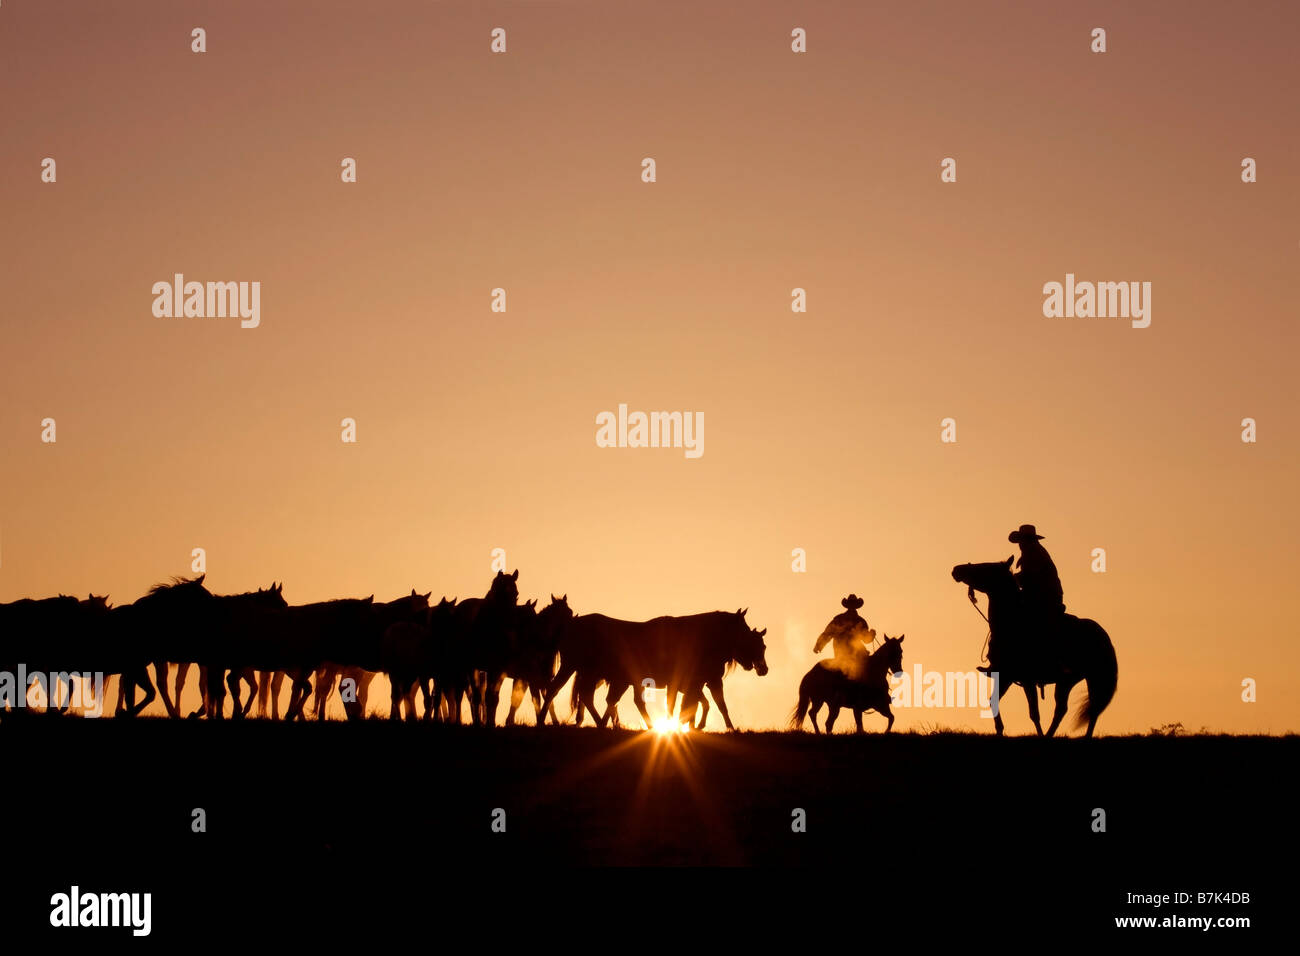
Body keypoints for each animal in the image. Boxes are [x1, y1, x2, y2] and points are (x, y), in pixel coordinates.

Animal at [951, 556, 1123, 738]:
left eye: (986, 567)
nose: (956, 570)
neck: (1011, 624)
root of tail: (1103, 635)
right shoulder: (1005, 676)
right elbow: (993, 702)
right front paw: (999, 731)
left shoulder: (1028, 680)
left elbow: (1034, 713)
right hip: (1069, 680)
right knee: (1067, 708)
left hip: (1090, 676)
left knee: (1088, 708)